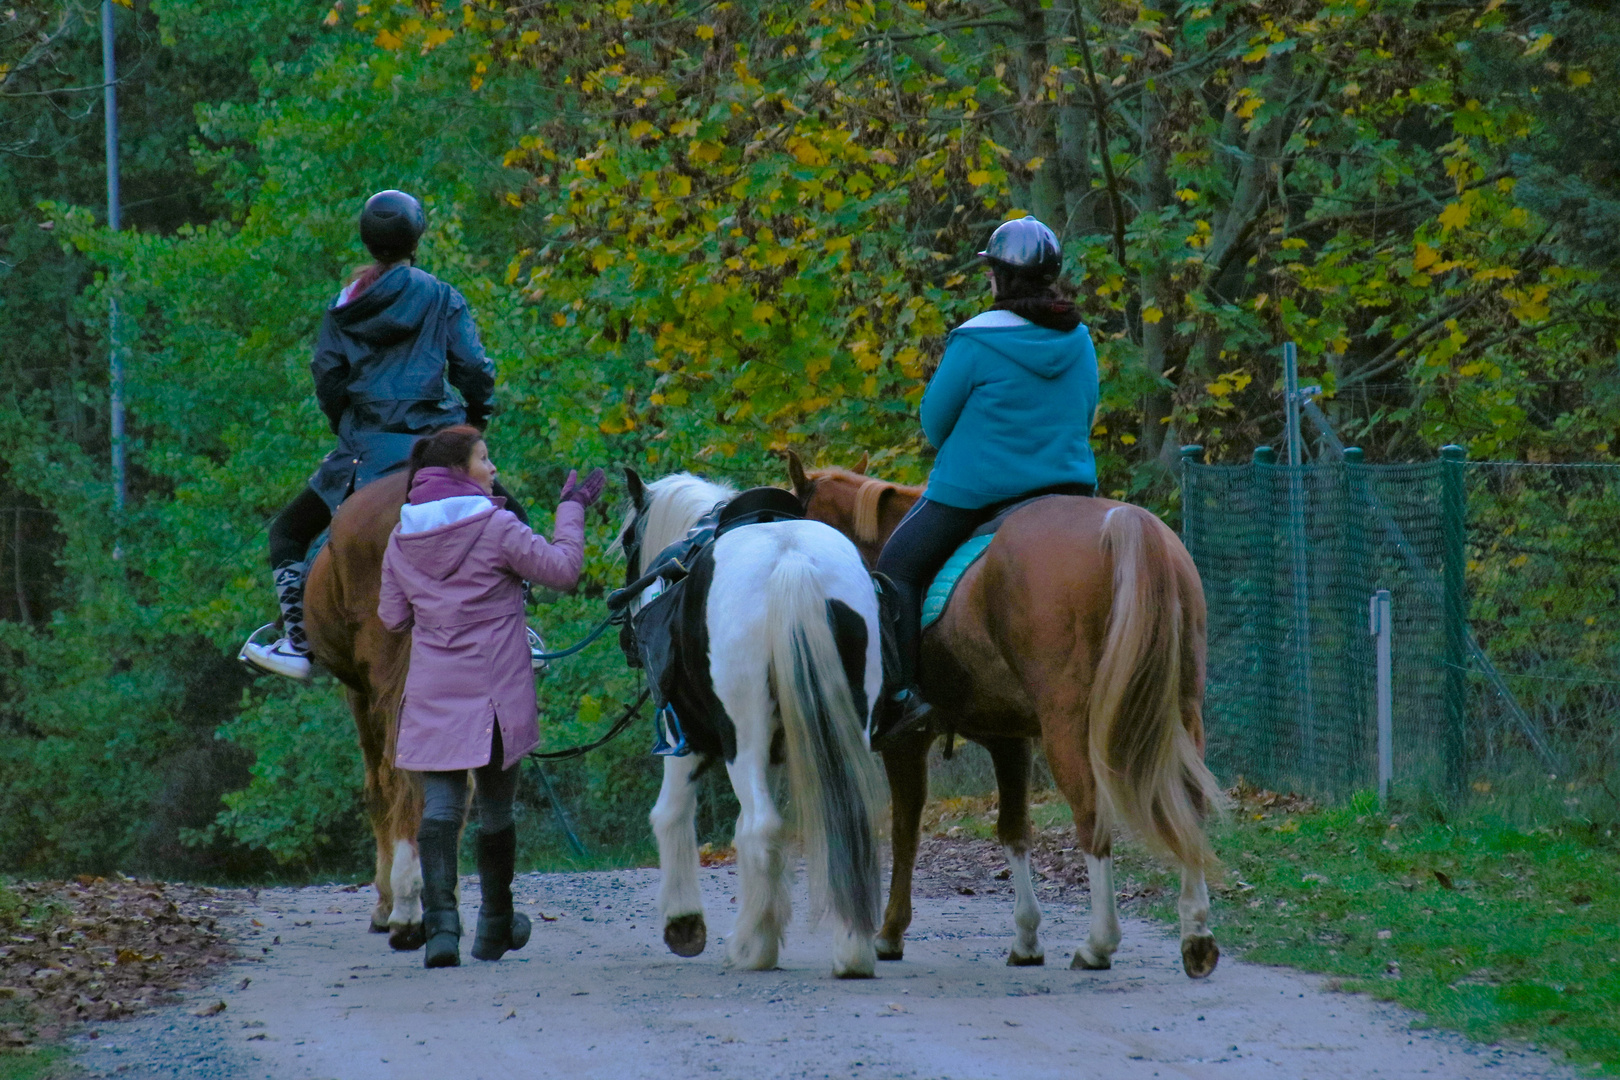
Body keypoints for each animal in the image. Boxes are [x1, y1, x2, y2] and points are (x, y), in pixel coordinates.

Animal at [622, 472, 887, 977]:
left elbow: (671, 813)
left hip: (742, 738)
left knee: (762, 827)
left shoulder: (685, 738)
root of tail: (790, 560)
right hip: (846, 725)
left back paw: (753, 948)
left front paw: (683, 923)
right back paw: (852, 950)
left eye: (628, 541)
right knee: (848, 818)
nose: (628, 641)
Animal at [787, 453, 1224, 977]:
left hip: (1066, 723)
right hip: (1182, 712)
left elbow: (905, 829)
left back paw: (1099, 944)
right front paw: (1026, 938)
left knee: (1092, 813)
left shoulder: (906, 741)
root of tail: (1123, 523)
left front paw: (889, 933)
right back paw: (1196, 934)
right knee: (1190, 805)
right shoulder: (1009, 739)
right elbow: (1014, 831)